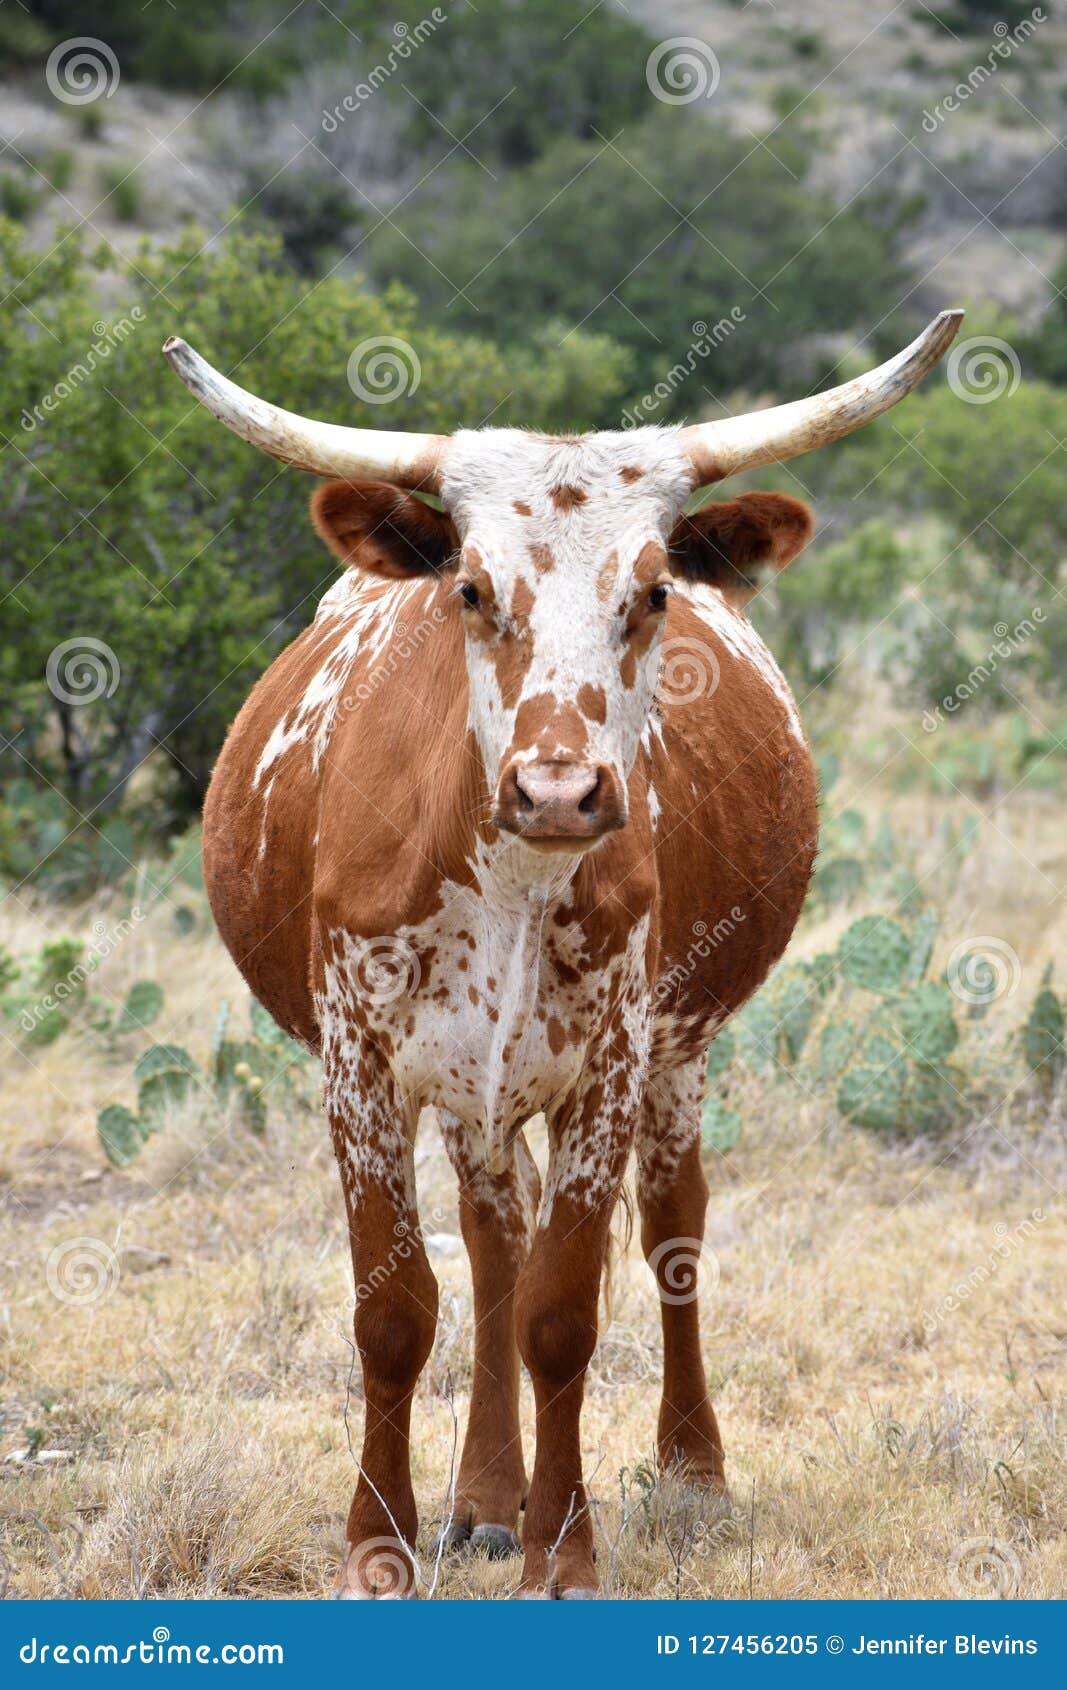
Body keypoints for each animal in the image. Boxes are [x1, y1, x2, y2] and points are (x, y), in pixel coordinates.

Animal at [164, 311, 961, 1599]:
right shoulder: (358, 1064)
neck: (511, 875)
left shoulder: (610, 1059)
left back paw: (685, 1472)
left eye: (651, 591)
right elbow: (399, 1308)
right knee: (495, 1238)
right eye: (472, 589)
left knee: (667, 1221)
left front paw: (567, 1548)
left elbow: (563, 1312)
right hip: (468, 1086)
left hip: (671, 1053)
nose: (555, 788)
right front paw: (380, 1539)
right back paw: (486, 1499)